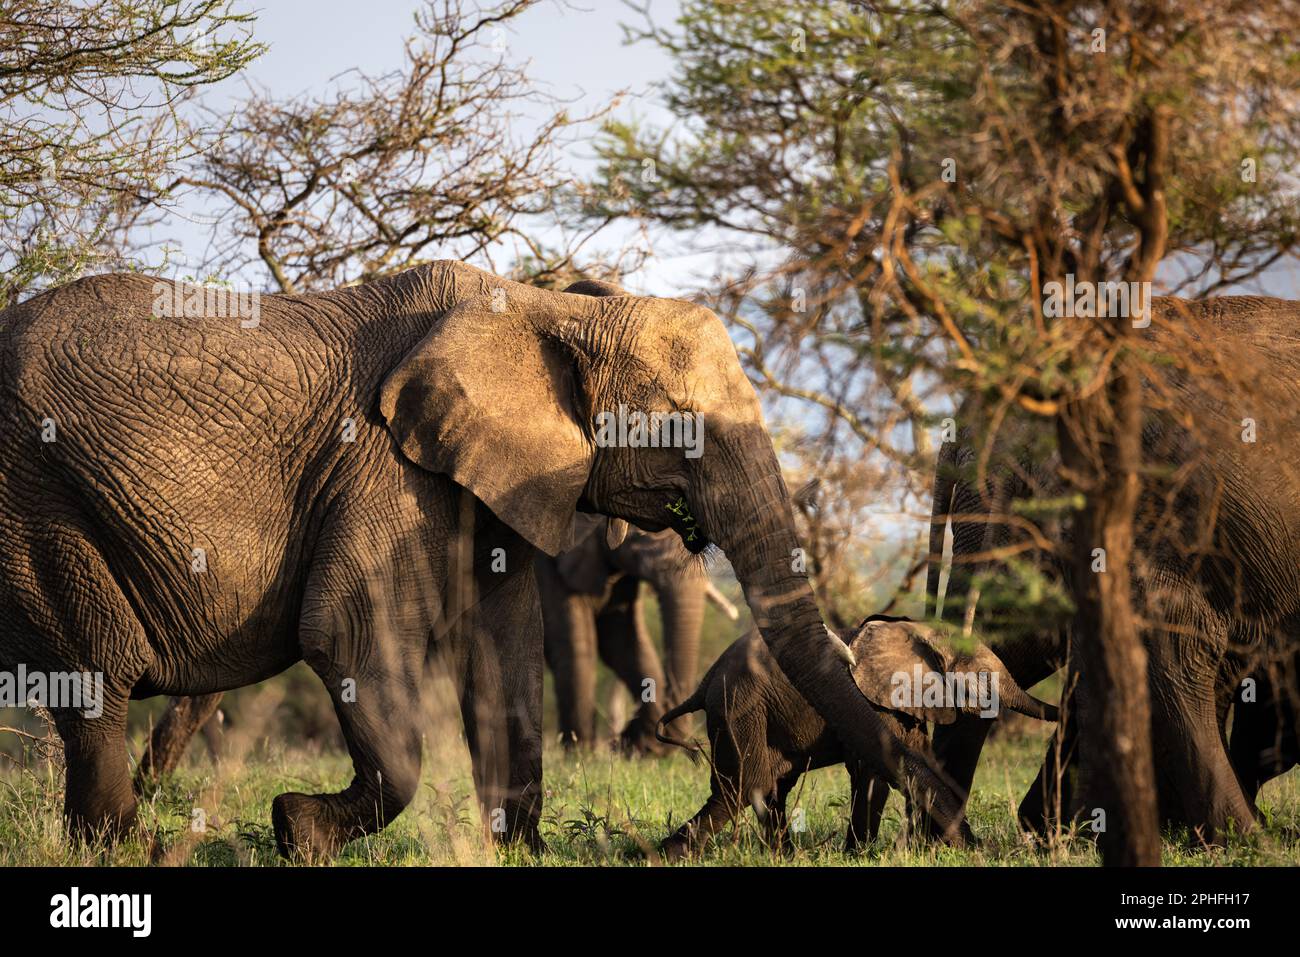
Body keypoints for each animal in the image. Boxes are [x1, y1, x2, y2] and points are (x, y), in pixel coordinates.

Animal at [538, 512, 738, 753]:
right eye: (636, 538)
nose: (618, 742)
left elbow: (620, 640)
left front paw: (633, 747)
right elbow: (574, 644)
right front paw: (581, 752)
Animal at [654, 615, 1058, 859]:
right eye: (982, 675)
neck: (916, 630)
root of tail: (705, 680)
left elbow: (921, 762)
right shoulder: (873, 701)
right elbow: (878, 768)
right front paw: (861, 855)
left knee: (773, 785)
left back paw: (783, 855)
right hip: (739, 705)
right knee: (742, 783)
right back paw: (669, 854)